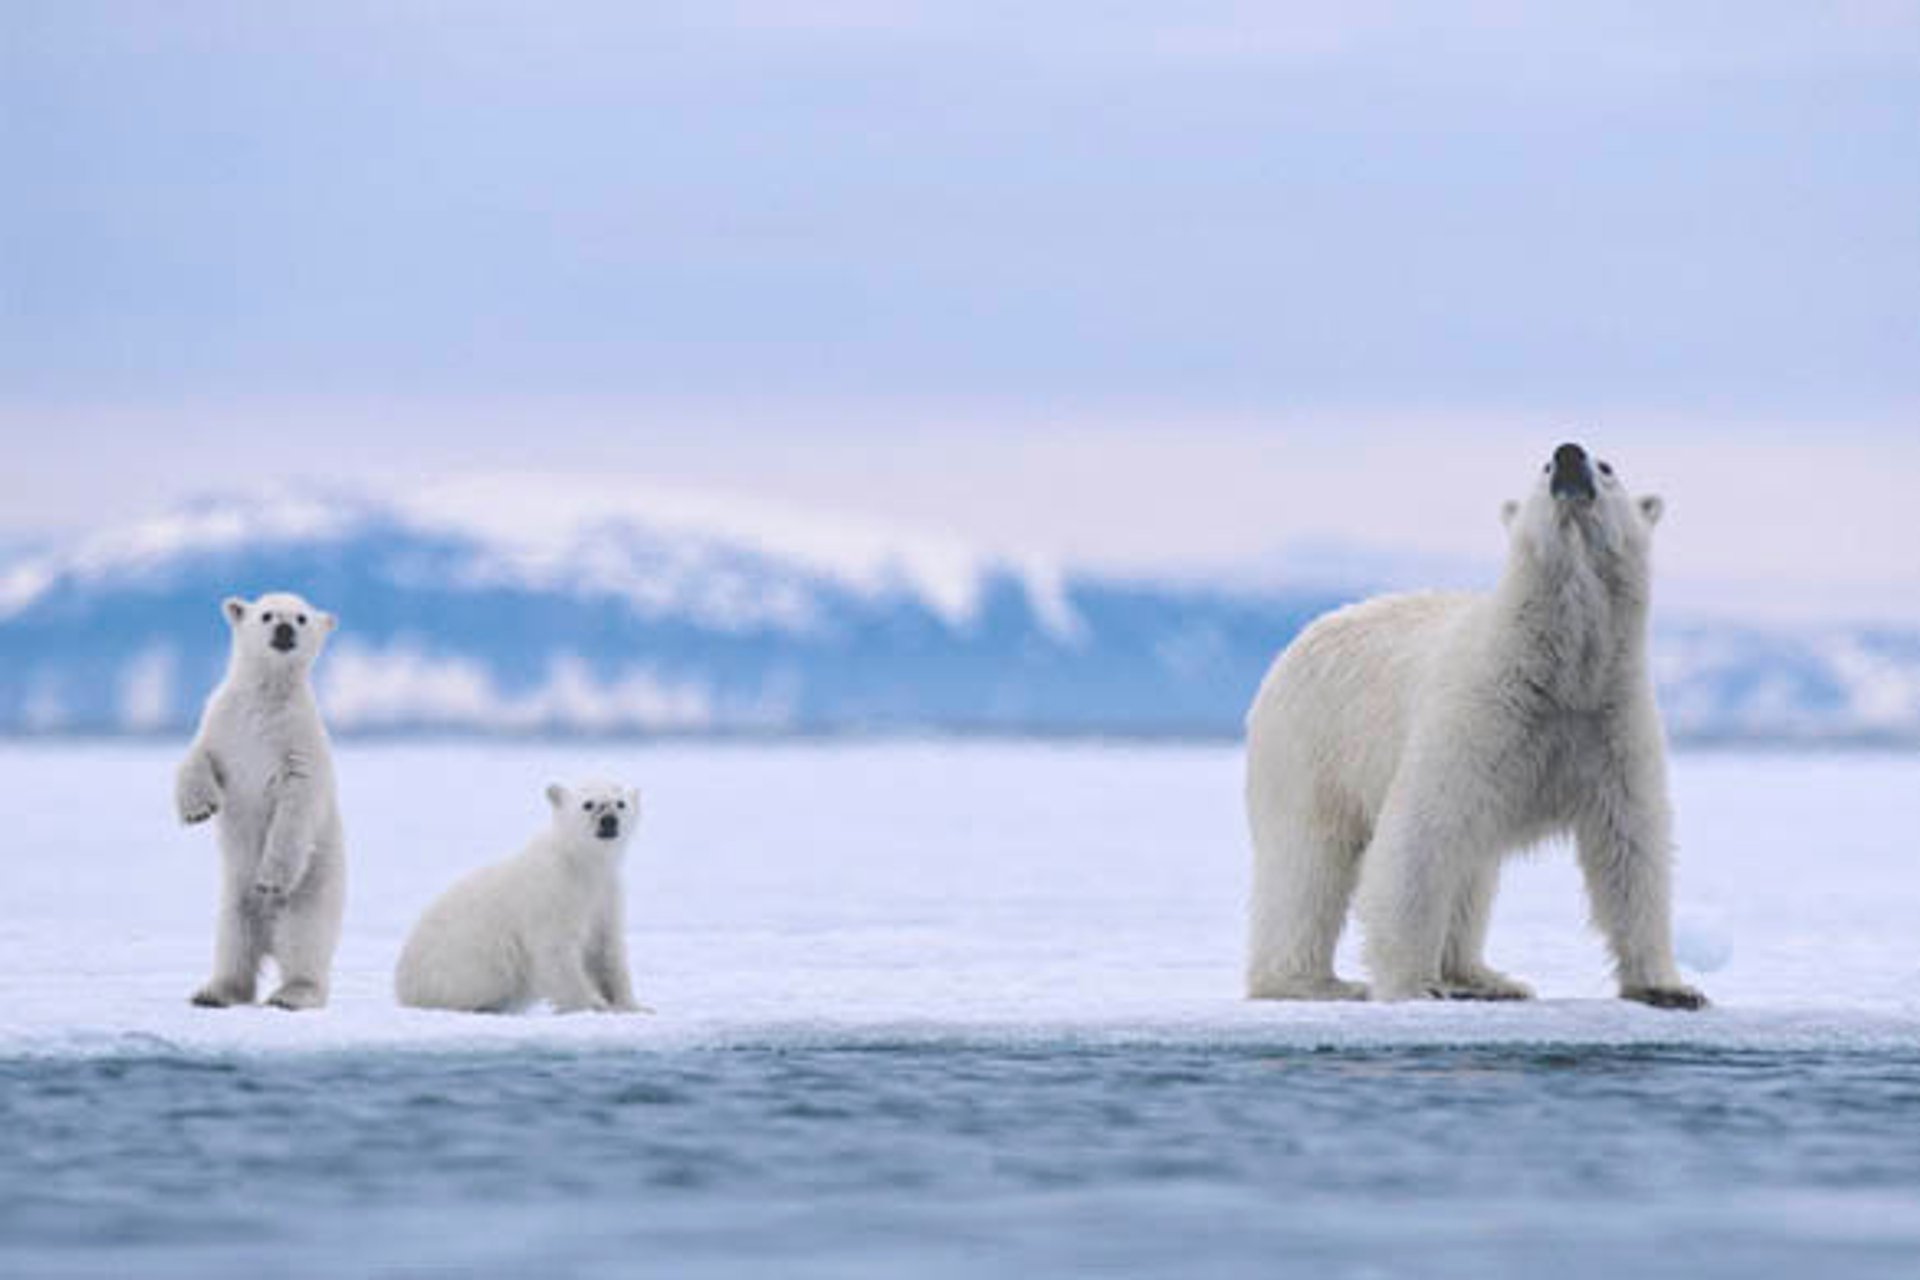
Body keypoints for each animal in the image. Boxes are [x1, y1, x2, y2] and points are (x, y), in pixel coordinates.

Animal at [174, 591, 345, 1011]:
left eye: (301, 618)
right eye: (267, 614)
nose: (283, 629)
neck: (265, 697)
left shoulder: (297, 744)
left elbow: (294, 811)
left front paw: (269, 879)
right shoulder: (224, 722)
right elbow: (197, 756)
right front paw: (199, 808)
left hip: (314, 888)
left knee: (303, 940)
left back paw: (292, 994)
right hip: (233, 901)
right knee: (234, 943)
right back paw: (213, 992)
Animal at [394, 780, 648, 1015]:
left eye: (620, 803)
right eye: (588, 804)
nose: (609, 821)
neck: (580, 862)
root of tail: (401, 989)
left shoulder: (605, 896)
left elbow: (607, 950)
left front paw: (633, 1005)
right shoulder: (553, 895)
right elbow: (557, 951)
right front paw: (593, 1003)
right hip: (464, 967)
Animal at [1244, 442, 1706, 1009]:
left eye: (1607, 466)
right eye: (1544, 467)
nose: (1568, 453)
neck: (1557, 673)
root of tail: (1299, 637)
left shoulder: (1609, 723)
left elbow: (1631, 845)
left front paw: (1670, 988)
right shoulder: (1478, 716)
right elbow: (1419, 837)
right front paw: (1415, 985)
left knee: (1472, 871)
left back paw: (1485, 979)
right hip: (1311, 744)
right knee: (1309, 863)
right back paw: (1315, 982)